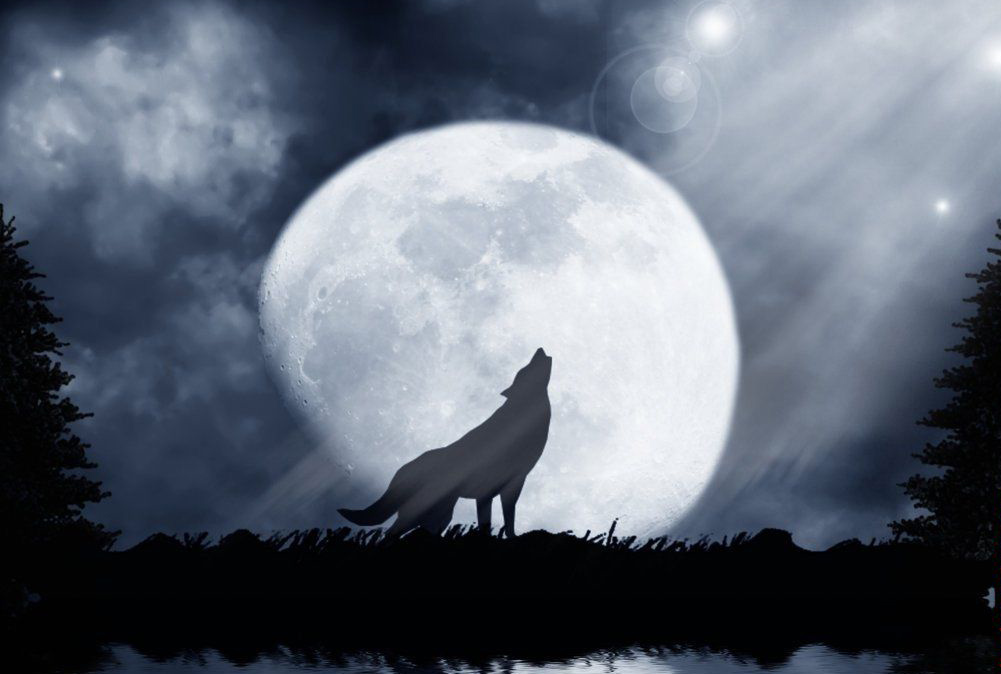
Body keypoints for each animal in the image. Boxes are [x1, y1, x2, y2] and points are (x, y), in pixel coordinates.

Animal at [338, 347, 552, 538]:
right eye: (523, 370)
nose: (540, 349)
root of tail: (400, 473)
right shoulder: (504, 487)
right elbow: (503, 519)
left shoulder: (500, 488)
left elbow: (496, 522)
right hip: (422, 513)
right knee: (390, 533)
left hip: (440, 516)